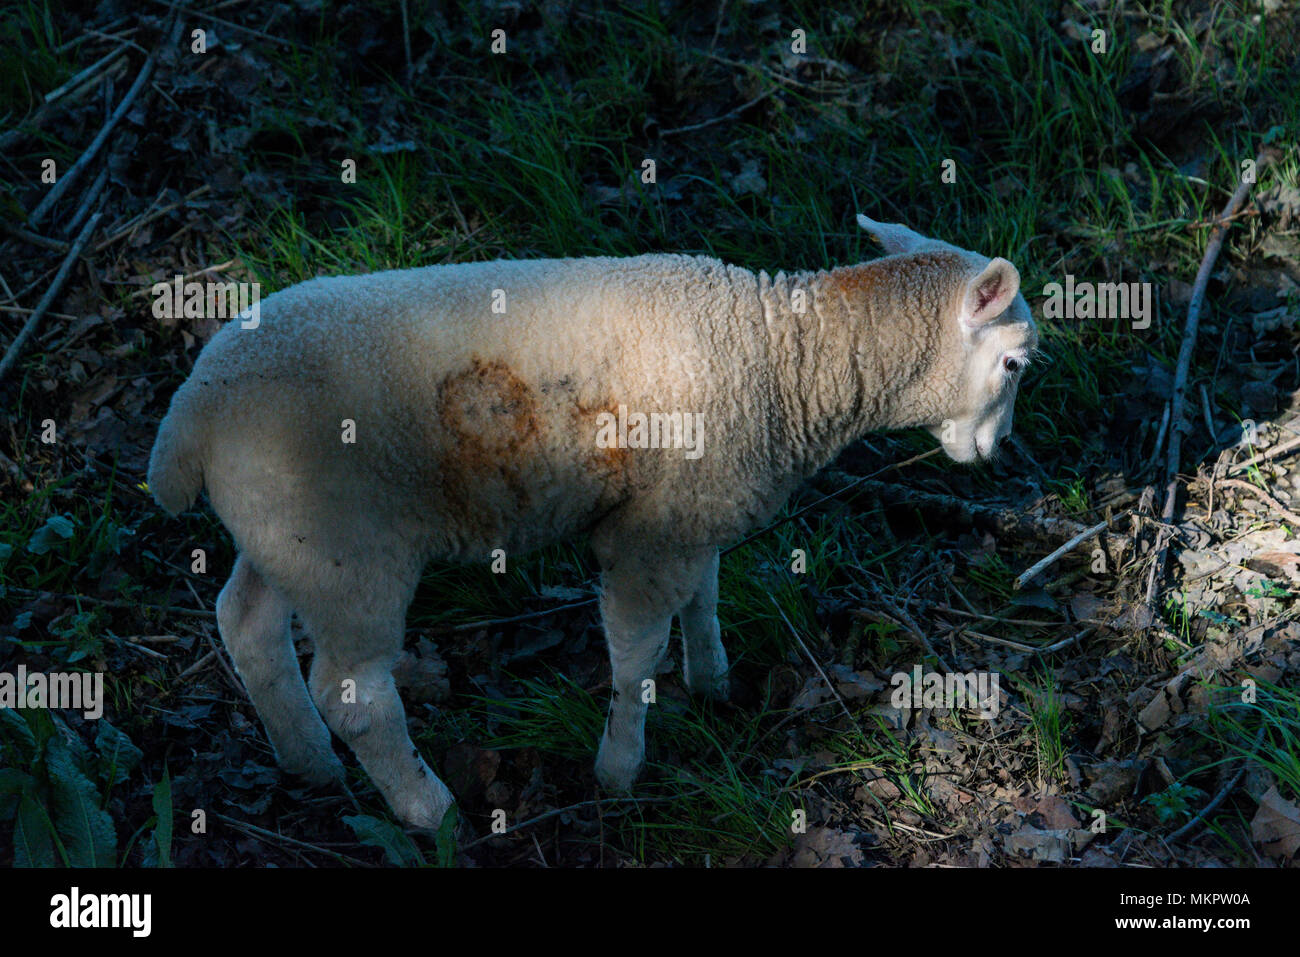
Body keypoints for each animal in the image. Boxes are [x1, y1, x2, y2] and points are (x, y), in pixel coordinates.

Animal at [147, 214, 1038, 833]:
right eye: (1013, 363)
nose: (993, 453)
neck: (787, 358)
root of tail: (193, 412)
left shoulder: (693, 504)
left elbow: (705, 592)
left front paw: (712, 680)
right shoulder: (651, 531)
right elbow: (635, 649)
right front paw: (619, 769)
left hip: (288, 534)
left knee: (248, 623)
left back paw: (307, 764)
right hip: (350, 554)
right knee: (358, 697)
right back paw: (428, 808)